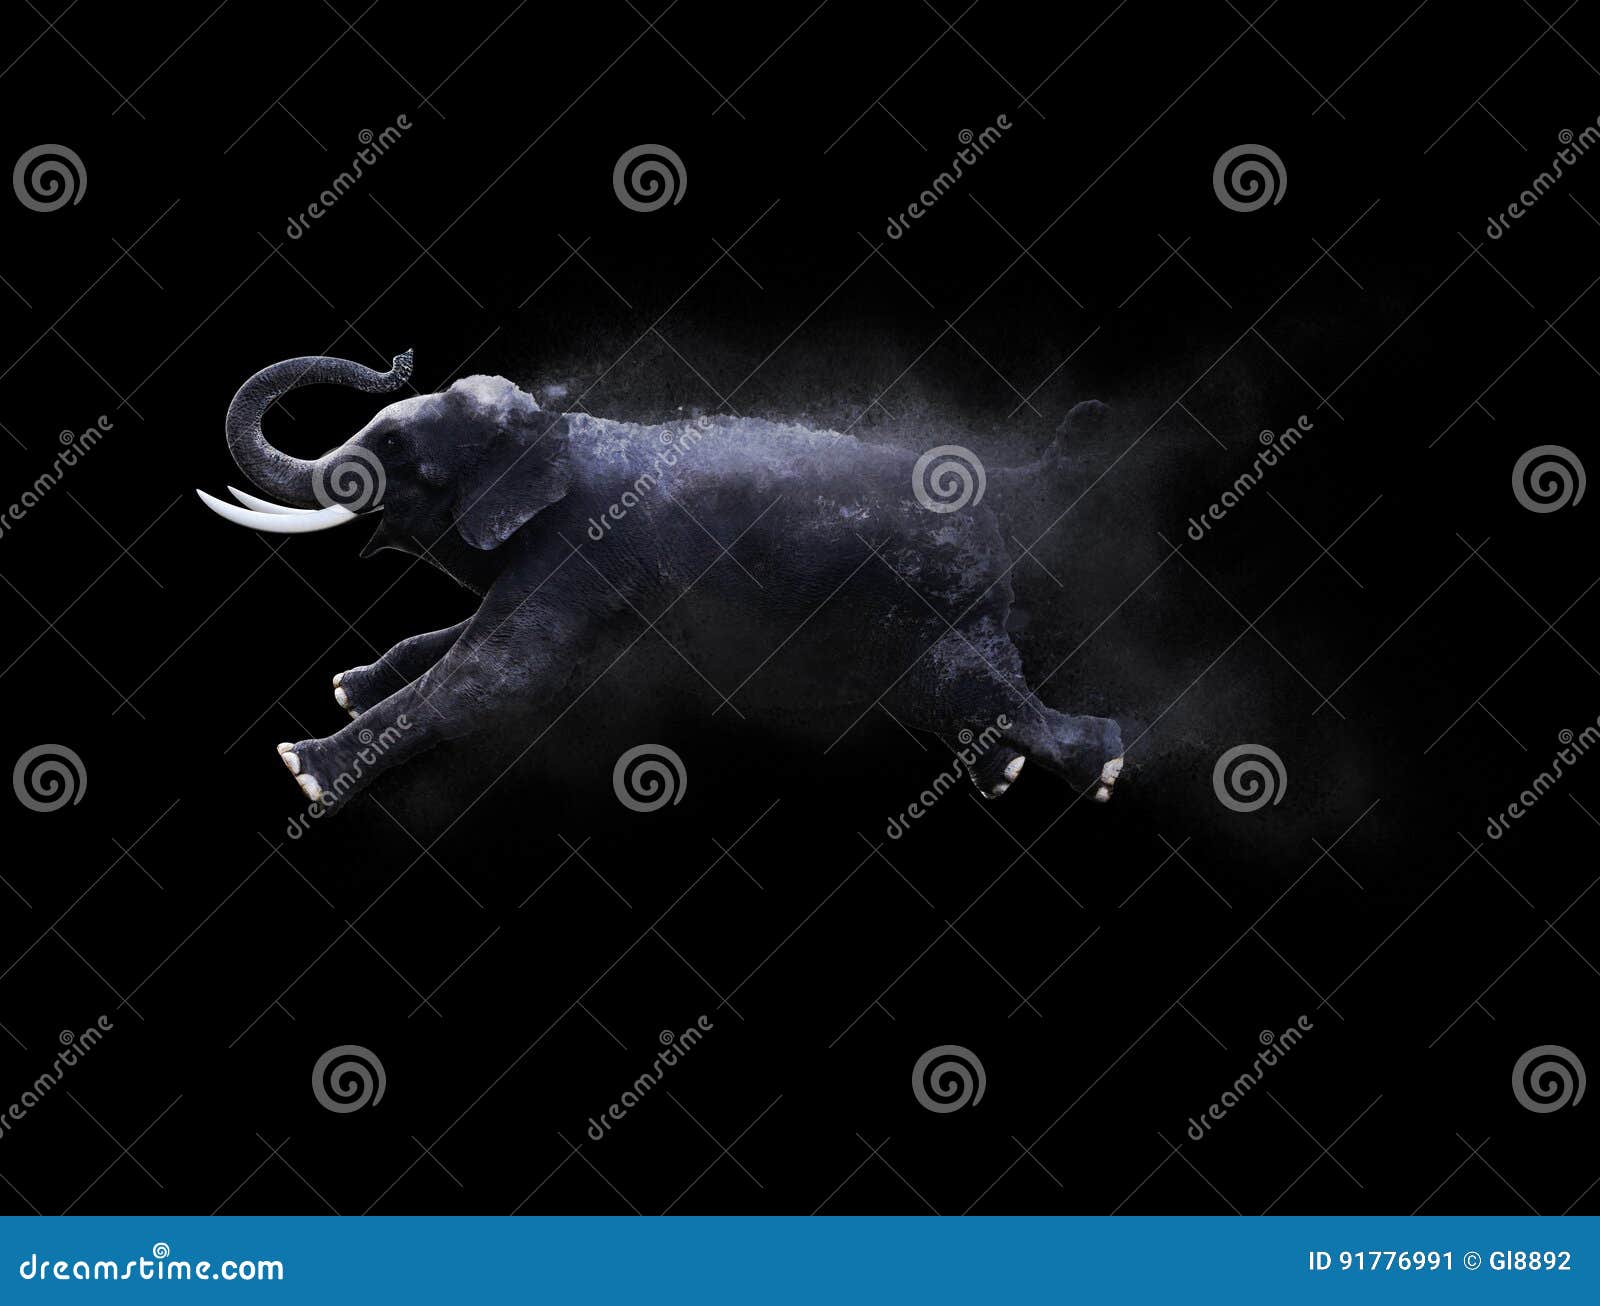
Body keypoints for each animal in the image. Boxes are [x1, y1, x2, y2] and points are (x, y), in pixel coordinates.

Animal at [197, 350, 1126, 813]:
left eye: (393, 448)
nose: (395, 356)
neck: (554, 428)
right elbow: (468, 637)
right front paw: (347, 684)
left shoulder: (592, 548)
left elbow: (500, 672)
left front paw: (301, 766)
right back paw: (1000, 776)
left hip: (921, 596)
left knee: (954, 680)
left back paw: (1104, 766)